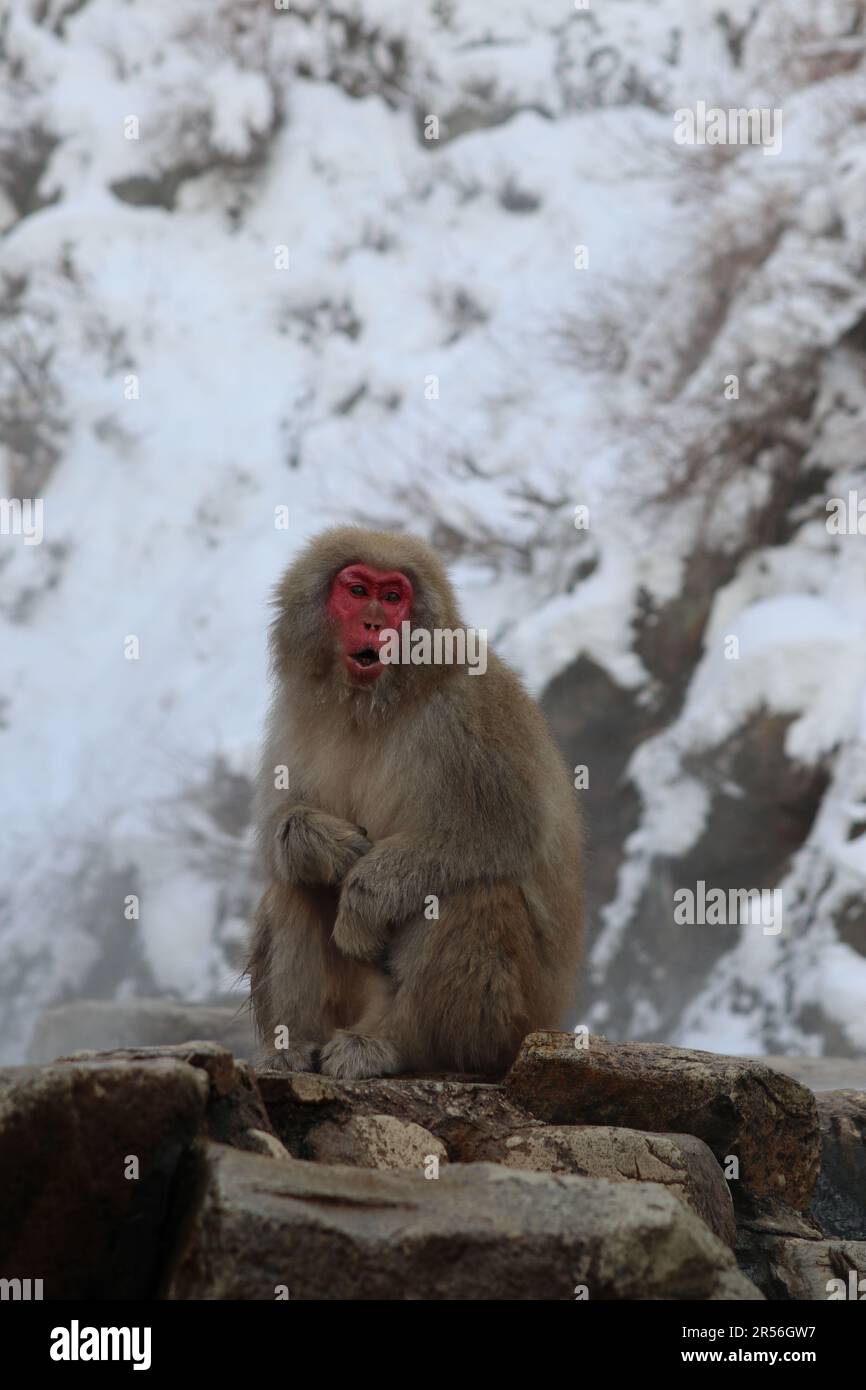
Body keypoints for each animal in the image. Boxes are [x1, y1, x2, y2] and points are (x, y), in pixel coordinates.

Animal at [246, 525, 583, 1080]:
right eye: (357, 591)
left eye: (392, 597)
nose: (375, 622)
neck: (375, 705)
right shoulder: (296, 716)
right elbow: (281, 830)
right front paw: (317, 840)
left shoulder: (472, 708)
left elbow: (507, 833)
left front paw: (365, 895)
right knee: (295, 886)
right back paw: (294, 1047)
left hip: (509, 1020)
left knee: (473, 891)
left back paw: (394, 1043)